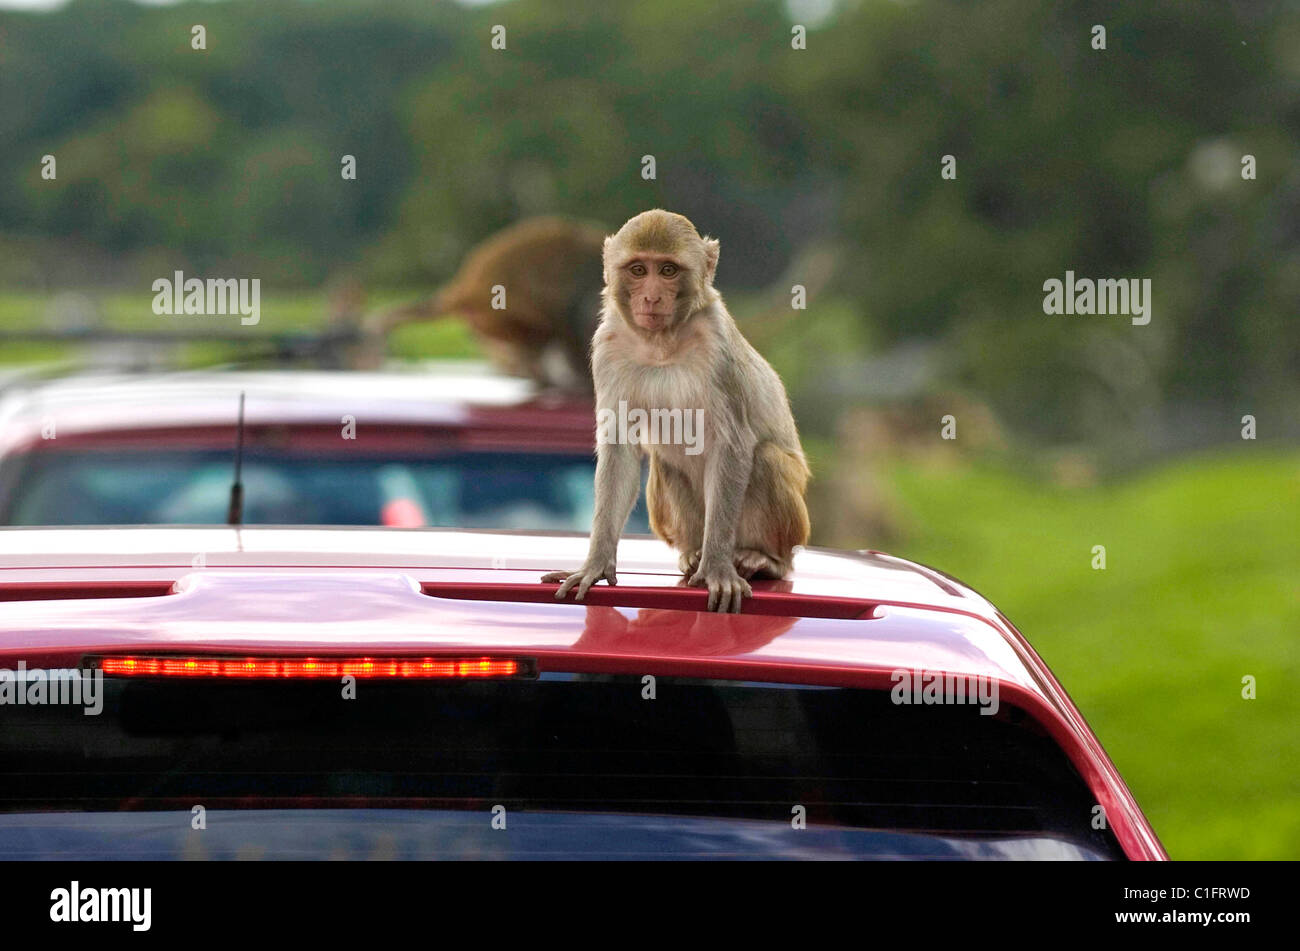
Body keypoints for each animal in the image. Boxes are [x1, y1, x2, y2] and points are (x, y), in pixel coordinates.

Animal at [541, 209, 811, 613]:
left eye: (668, 270)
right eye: (638, 270)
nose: (652, 297)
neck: (661, 343)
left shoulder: (718, 348)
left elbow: (733, 443)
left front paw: (716, 568)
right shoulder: (607, 346)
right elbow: (619, 449)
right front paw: (596, 563)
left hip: (789, 532)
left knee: (765, 459)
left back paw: (762, 560)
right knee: (667, 465)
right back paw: (692, 554)